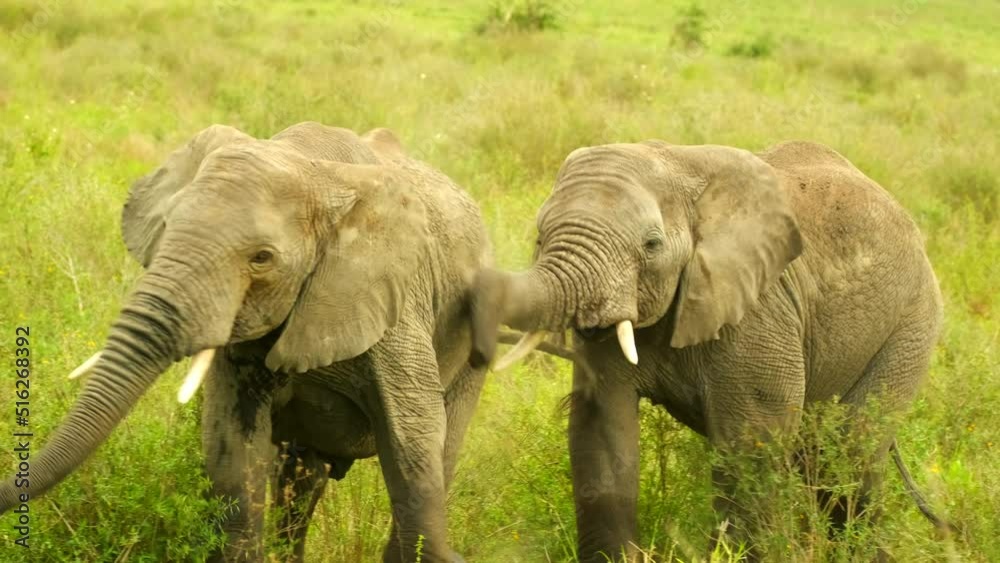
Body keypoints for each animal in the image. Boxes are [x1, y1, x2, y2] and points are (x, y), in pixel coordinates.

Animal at [0, 121, 494, 562]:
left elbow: (414, 452)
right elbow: (234, 454)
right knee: (302, 481)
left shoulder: (392, 298)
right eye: (167, 227)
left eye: (262, 258)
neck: (309, 164)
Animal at [469, 140, 947, 560]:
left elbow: (750, 442)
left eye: (652, 244)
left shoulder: (758, 310)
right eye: (539, 238)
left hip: (911, 323)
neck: (678, 166)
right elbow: (602, 431)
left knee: (848, 456)